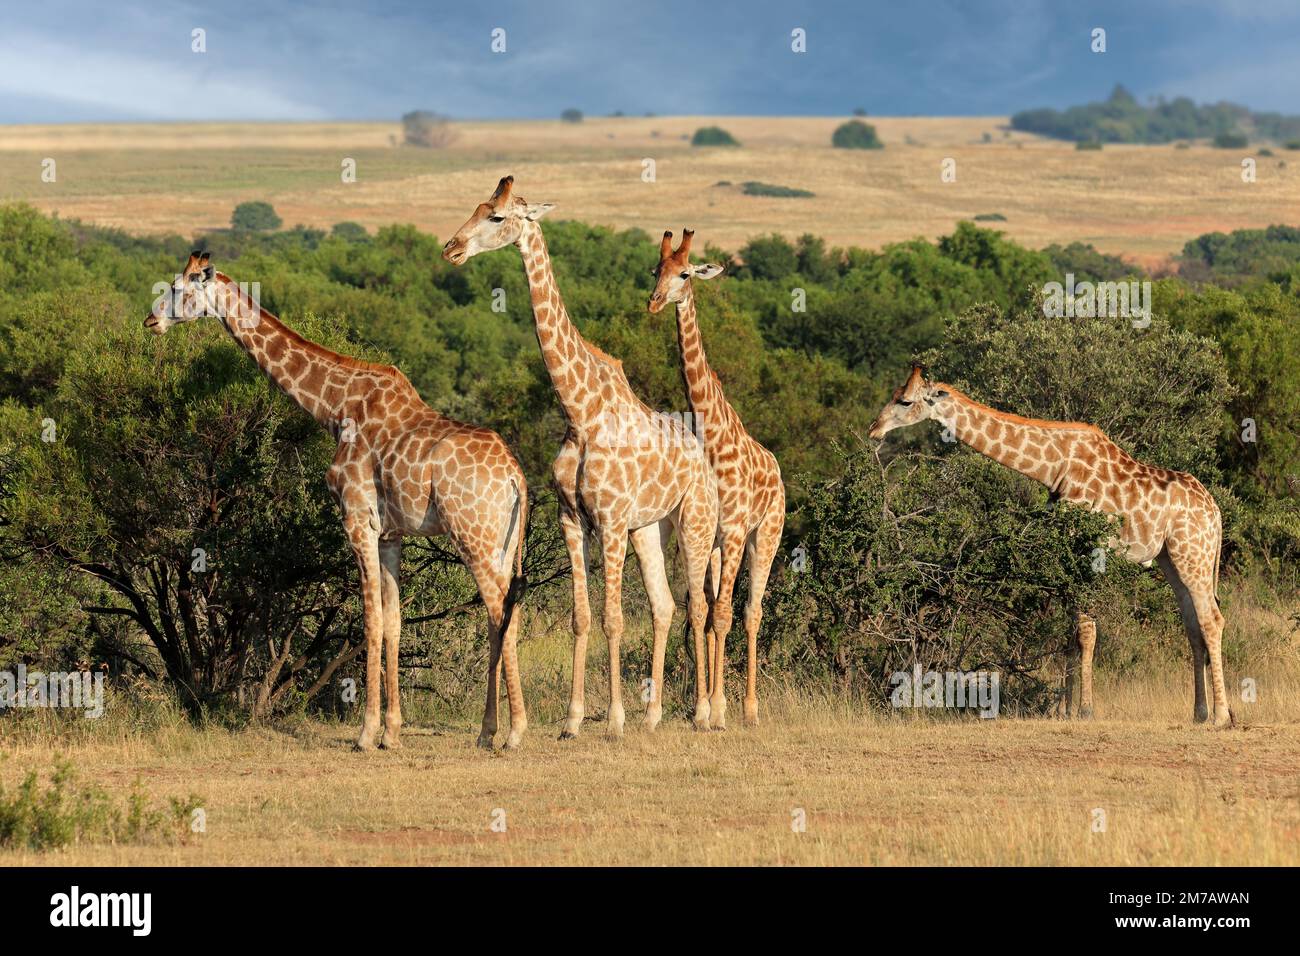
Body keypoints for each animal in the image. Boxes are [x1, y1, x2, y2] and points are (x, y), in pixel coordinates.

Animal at [145, 251, 531, 750]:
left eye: (178, 287)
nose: (150, 320)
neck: (334, 407)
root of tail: (516, 477)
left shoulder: (356, 519)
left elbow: (368, 620)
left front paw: (365, 733)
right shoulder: (390, 534)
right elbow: (393, 620)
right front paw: (392, 732)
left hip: (473, 535)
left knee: (499, 609)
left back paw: (513, 732)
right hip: (503, 541)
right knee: (507, 613)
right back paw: (488, 731)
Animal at [442, 177, 720, 736]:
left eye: (497, 217)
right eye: (478, 208)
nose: (451, 249)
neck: (579, 411)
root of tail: (703, 458)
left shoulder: (610, 520)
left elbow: (613, 619)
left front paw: (612, 720)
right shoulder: (573, 519)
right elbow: (582, 617)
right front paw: (572, 721)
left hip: (693, 520)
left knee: (698, 603)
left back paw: (701, 713)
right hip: (649, 528)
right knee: (663, 605)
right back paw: (653, 715)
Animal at [648, 229, 786, 728]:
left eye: (685, 273)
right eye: (657, 270)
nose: (653, 302)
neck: (712, 431)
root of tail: (778, 471)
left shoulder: (733, 530)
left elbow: (724, 613)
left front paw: (721, 709)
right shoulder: (704, 534)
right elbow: (699, 612)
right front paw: (700, 706)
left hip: (766, 534)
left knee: (752, 611)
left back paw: (749, 708)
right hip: (720, 544)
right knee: (711, 611)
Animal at [868, 366, 1231, 727]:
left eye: (905, 400)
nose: (874, 429)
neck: (1054, 467)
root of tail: (1215, 512)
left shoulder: (1089, 546)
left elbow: (1085, 630)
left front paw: (1085, 710)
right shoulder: (1066, 545)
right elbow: (1070, 632)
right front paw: (1063, 710)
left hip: (1193, 554)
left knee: (1212, 621)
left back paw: (1221, 716)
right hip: (1173, 558)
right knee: (1193, 626)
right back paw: (1199, 713)